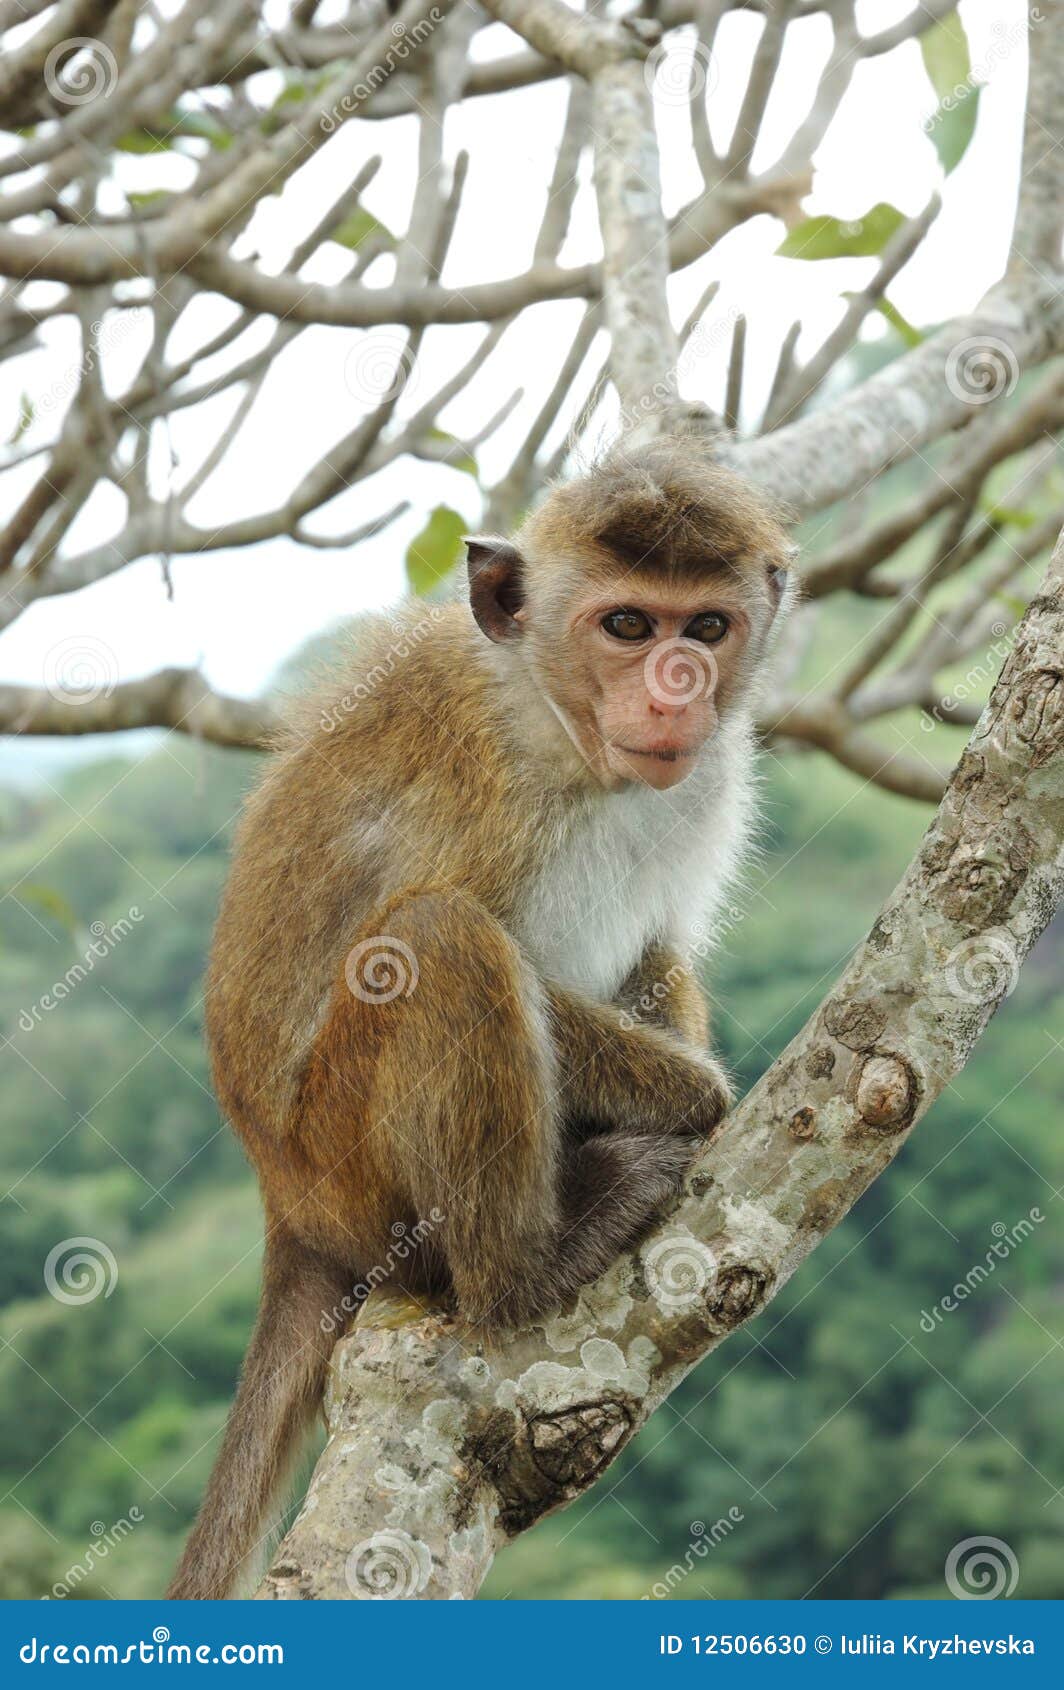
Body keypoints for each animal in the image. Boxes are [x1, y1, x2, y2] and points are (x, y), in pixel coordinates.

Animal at [166, 438, 793, 1600]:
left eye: (705, 629)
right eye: (625, 625)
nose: (674, 691)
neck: (558, 725)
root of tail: (288, 1208)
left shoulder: (709, 778)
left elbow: (656, 952)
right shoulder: (481, 784)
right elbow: (415, 940)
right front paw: (698, 1092)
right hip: (353, 1174)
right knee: (437, 942)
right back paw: (527, 1266)